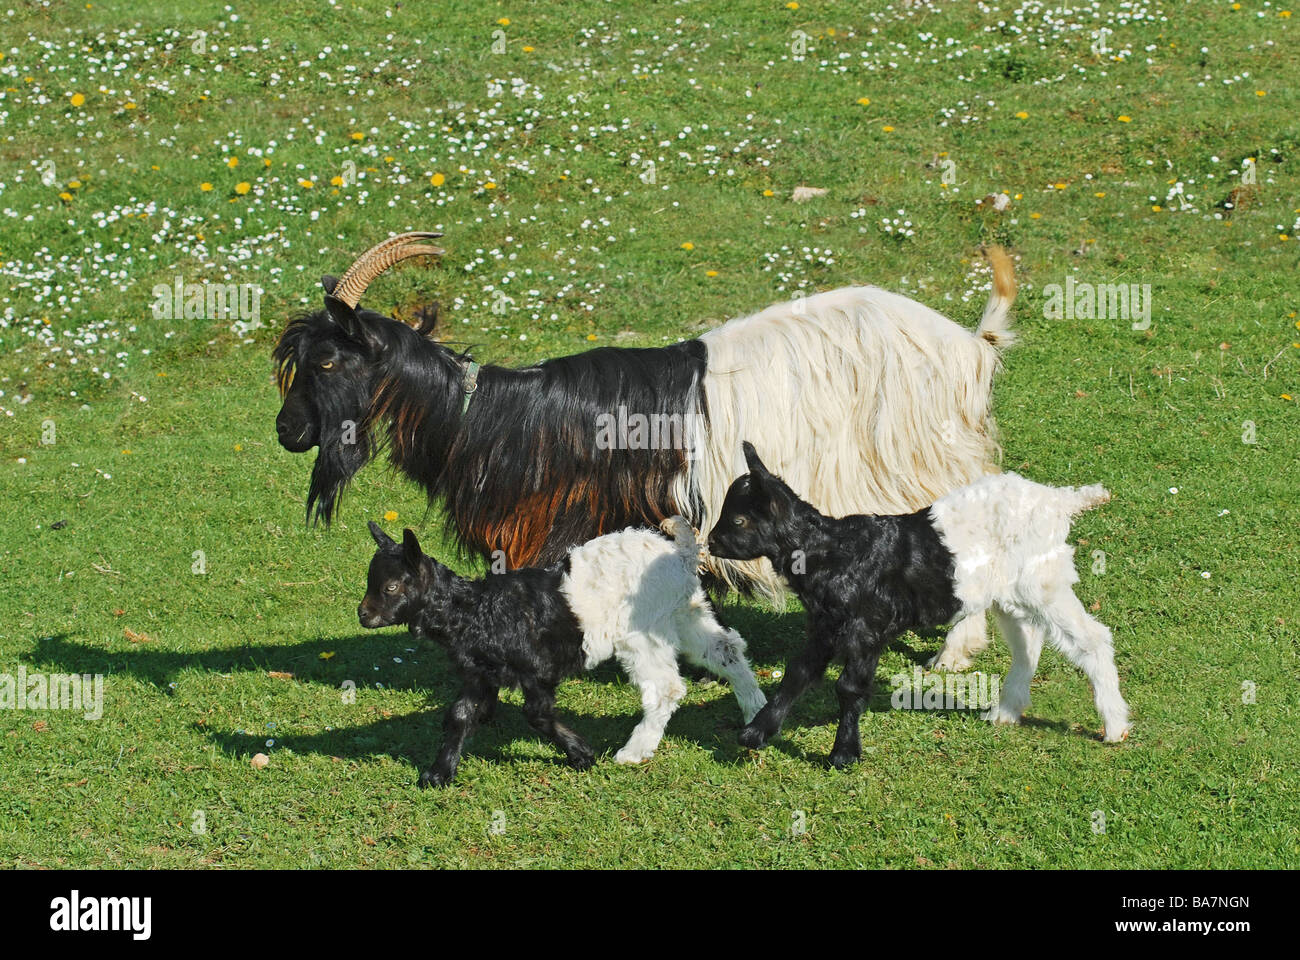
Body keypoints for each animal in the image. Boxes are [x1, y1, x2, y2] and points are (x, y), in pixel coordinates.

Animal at [276, 233, 1017, 668]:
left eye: (326, 362)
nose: (287, 431)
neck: (486, 421)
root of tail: (971, 347)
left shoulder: (541, 529)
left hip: (925, 465)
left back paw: (956, 653)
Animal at [358, 517, 765, 787]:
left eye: (392, 587)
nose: (363, 615)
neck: (476, 610)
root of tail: (680, 554)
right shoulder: (480, 673)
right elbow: (459, 715)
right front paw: (438, 773)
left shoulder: (537, 669)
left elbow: (536, 714)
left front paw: (581, 753)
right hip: (684, 613)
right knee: (726, 648)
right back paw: (755, 711)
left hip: (644, 631)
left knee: (666, 687)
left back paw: (634, 751)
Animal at [706, 442, 1130, 768]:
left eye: (739, 520)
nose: (710, 542)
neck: (830, 551)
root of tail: (1058, 499)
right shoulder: (824, 627)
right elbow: (797, 674)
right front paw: (756, 732)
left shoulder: (866, 627)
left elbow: (848, 688)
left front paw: (843, 754)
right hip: (1009, 594)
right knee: (1029, 641)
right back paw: (1005, 712)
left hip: (1045, 582)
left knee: (1093, 639)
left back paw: (1114, 726)